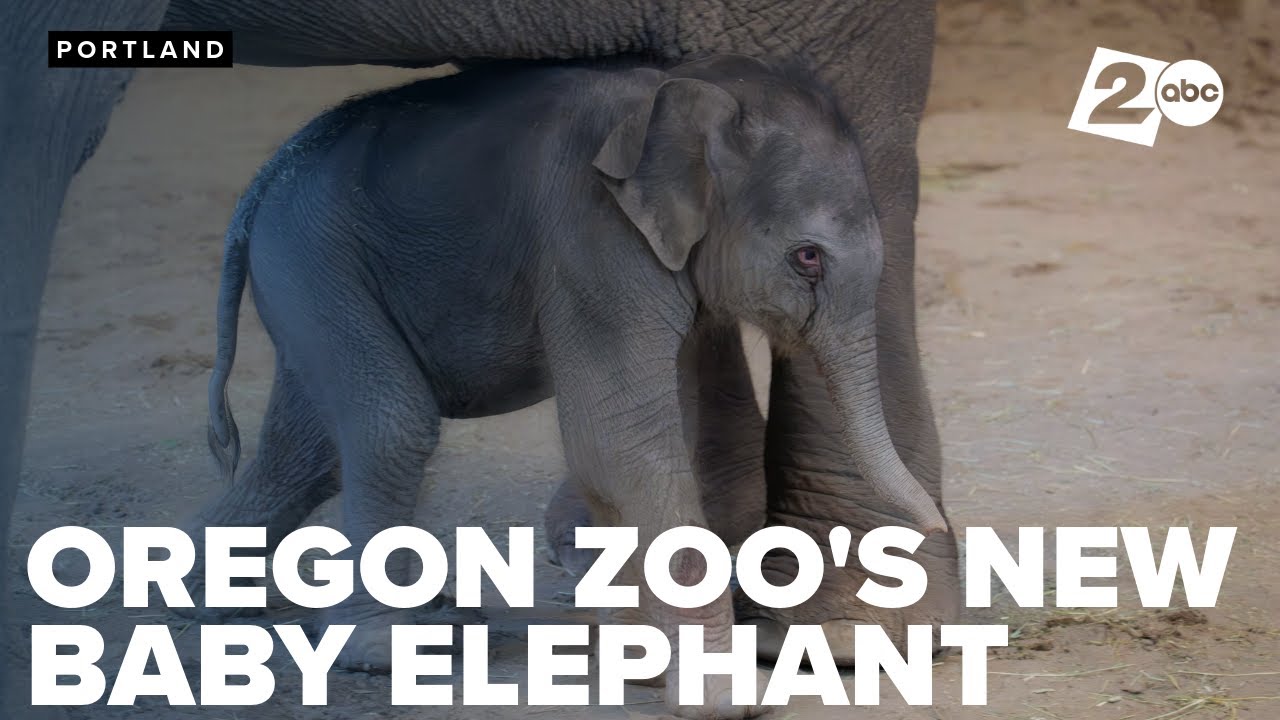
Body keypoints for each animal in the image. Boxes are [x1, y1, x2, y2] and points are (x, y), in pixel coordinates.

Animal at [1, 1, 958, 716]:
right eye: (808, 258)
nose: (947, 524)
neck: (678, 102)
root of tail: (261, 185)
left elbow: (674, 427)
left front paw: (644, 657)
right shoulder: (592, 243)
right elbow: (623, 443)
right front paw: (724, 698)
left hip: (308, 271)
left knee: (310, 447)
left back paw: (195, 600)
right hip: (312, 257)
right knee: (389, 425)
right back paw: (378, 650)